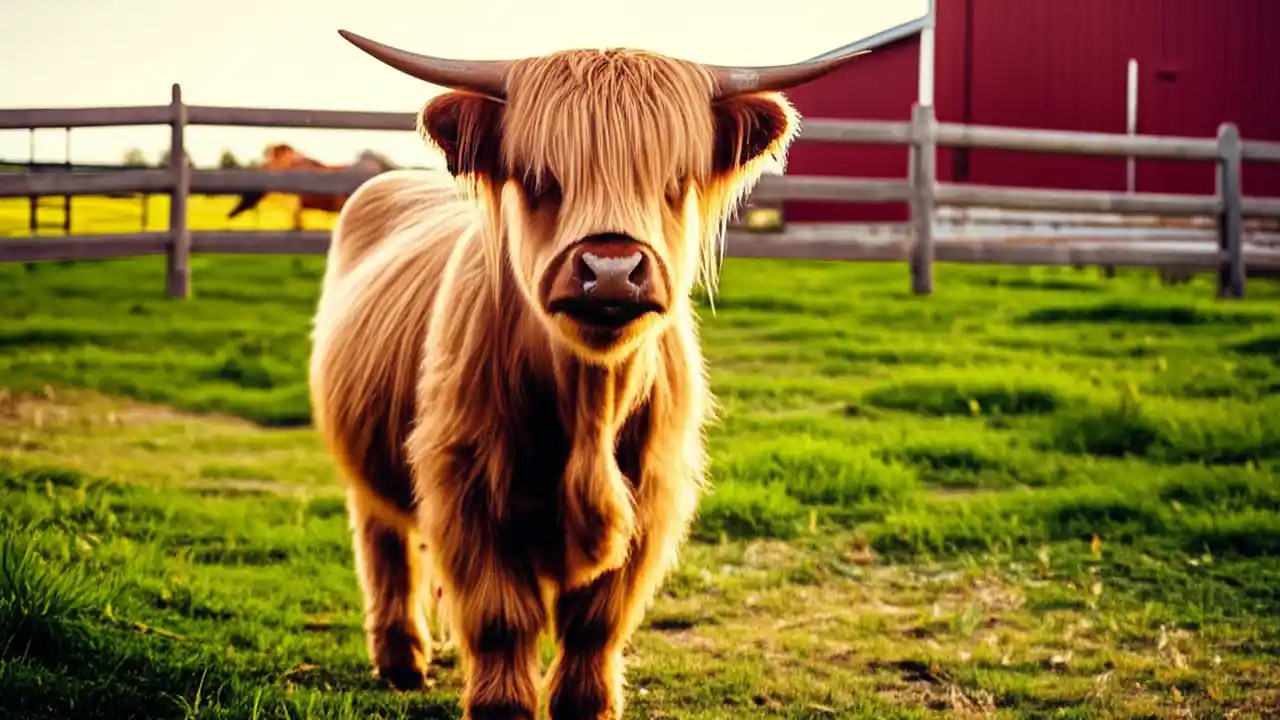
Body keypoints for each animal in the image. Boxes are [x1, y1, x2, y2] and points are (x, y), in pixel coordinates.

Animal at [308, 29, 864, 719]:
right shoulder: (466, 486)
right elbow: (501, 618)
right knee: (383, 545)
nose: (612, 269)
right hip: (365, 468)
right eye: (539, 178)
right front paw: (501, 703)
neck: (589, 406)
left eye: (673, 180)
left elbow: (597, 622)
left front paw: (586, 702)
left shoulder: (652, 492)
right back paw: (400, 660)